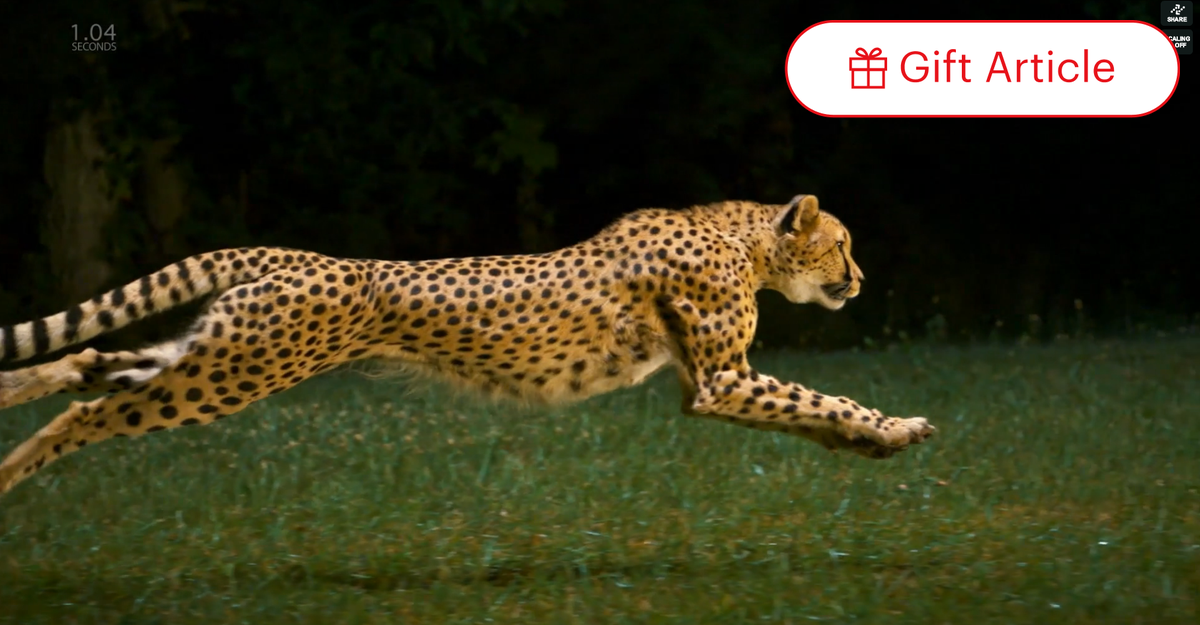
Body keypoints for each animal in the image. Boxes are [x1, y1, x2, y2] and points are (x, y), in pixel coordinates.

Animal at [0, 194, 934, 496]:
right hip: (233, 373)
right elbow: (819, 398)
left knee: (85, 363)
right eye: (841, 244)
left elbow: (808, 413)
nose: (859, 278)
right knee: (88, 409)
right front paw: (893, 429)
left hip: (214, 351)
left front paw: (871, 444)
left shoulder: (715, 381)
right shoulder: (718, 379)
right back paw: (12, 472)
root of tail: (293, 255)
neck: (745, 240)